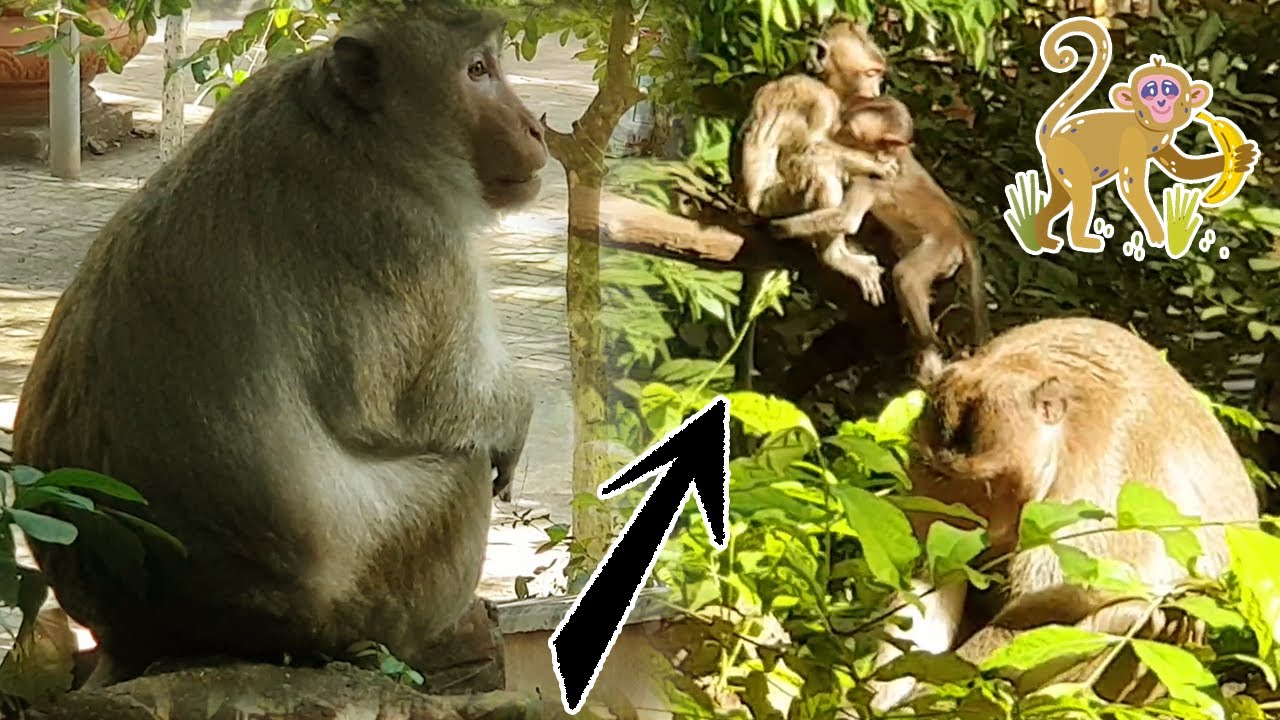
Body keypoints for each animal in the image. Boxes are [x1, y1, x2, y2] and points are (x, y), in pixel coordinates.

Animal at [11, 1, 545, 689]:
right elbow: (419, 403)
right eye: (477, 70)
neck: (356, 133)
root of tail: (137, 628)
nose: (534, 127)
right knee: (462, 473)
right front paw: (515, 416)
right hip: (358, 592)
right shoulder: (409, 237)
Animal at [768, 95, 989, 383]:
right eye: (843, 120)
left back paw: (927, 342)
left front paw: (780, 227)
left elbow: (846, 219)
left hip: (941, 248)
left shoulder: (872, 179)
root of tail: (962, 231)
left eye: (851, 132)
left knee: (906, 275)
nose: (834, 134)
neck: (888, 155)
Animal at [866, 317, 1260, 710]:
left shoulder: (1092, 484)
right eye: (944, 481)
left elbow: (1051, 605)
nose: (970, 522)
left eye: (986, 486)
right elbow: (933, 577)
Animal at [1031, 16, 1258, 252]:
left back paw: (1044, 238)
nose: (1161, 102)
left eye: (1169, 90)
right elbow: (1131, 186)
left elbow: (1181, 169)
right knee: (1083, 194)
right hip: (1067, 158)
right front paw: (1158, 235)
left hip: (1057, 167)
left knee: (1063, 198)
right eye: (1149, 91)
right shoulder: (1133, 139)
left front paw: (1239, 159)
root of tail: (1052, 139)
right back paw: (1080, 241)